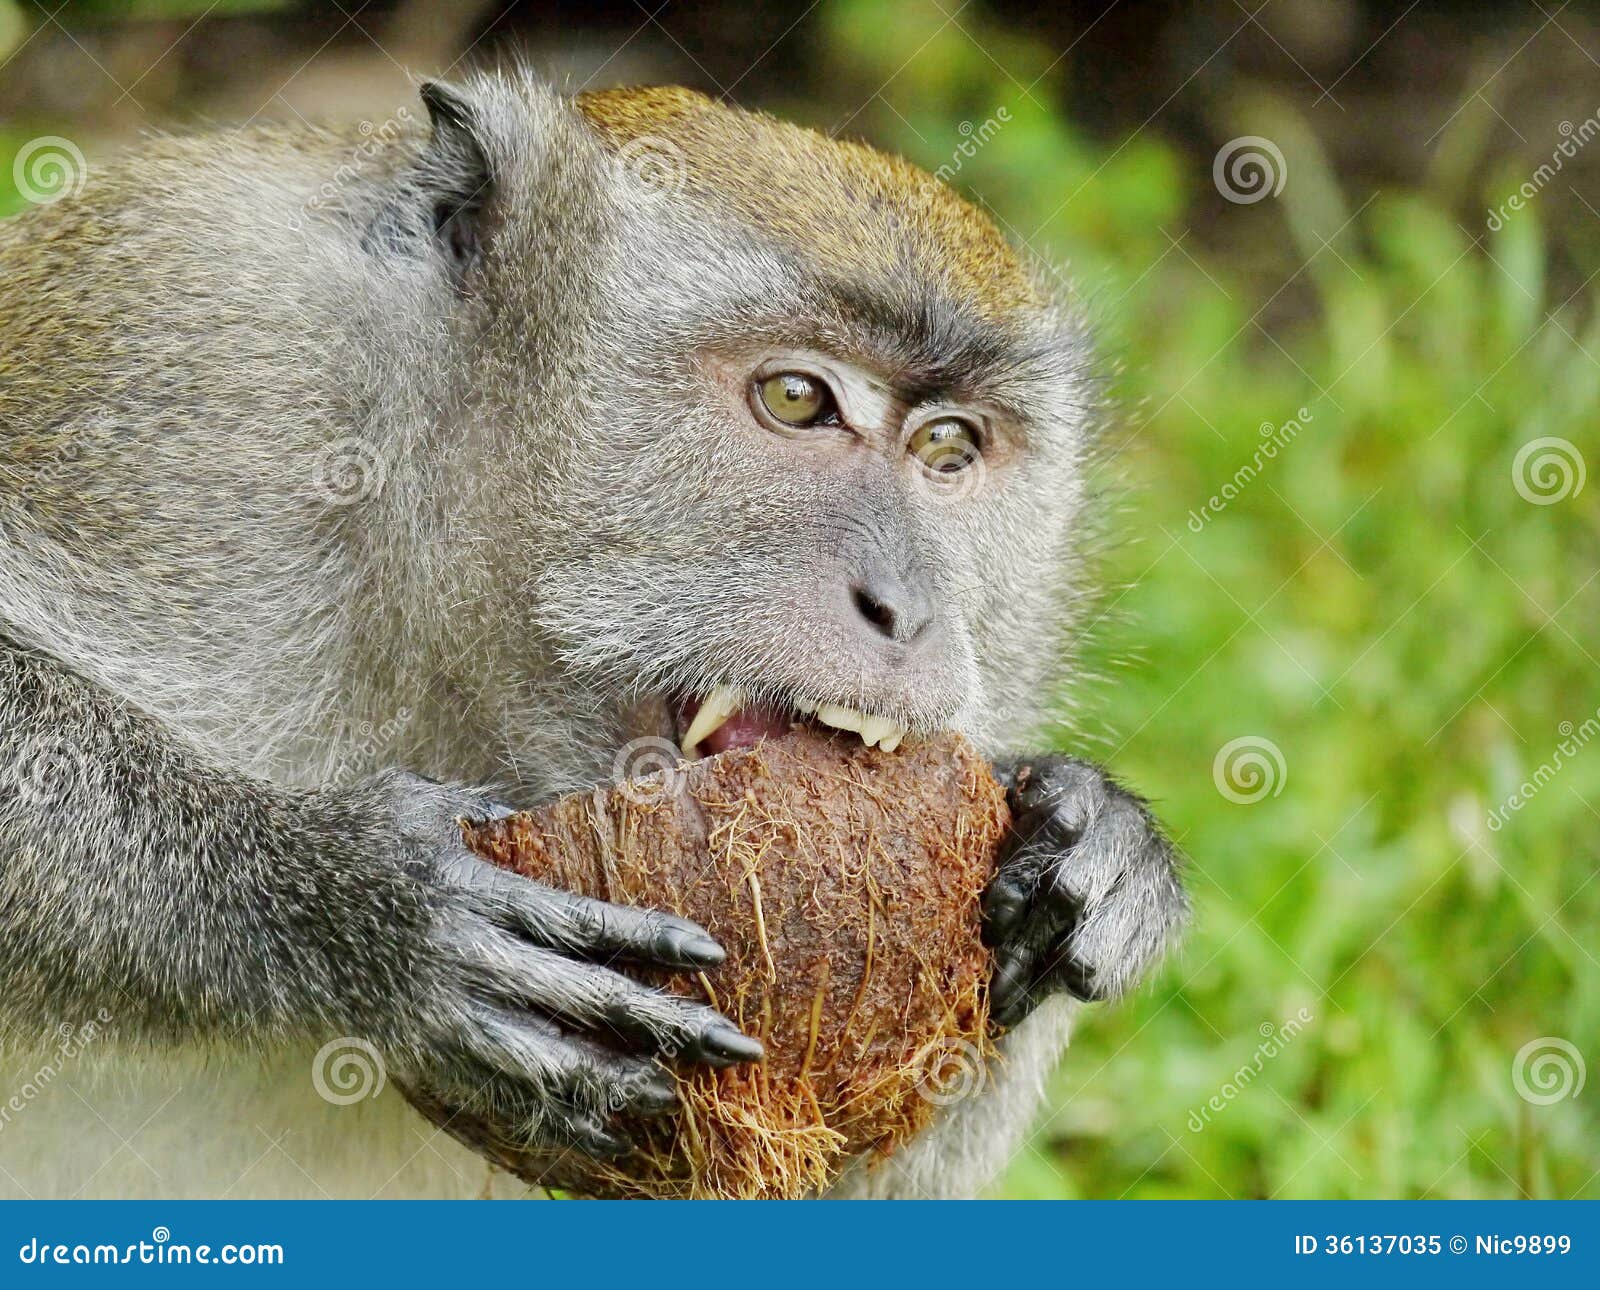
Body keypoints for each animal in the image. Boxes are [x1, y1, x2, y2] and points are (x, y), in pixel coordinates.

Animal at [0, 69, 1188, 1200]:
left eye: (948, 447)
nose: (905, 608)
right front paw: (363, 901)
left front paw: (1090, 841)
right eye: (796, 397)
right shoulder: (186, 331)